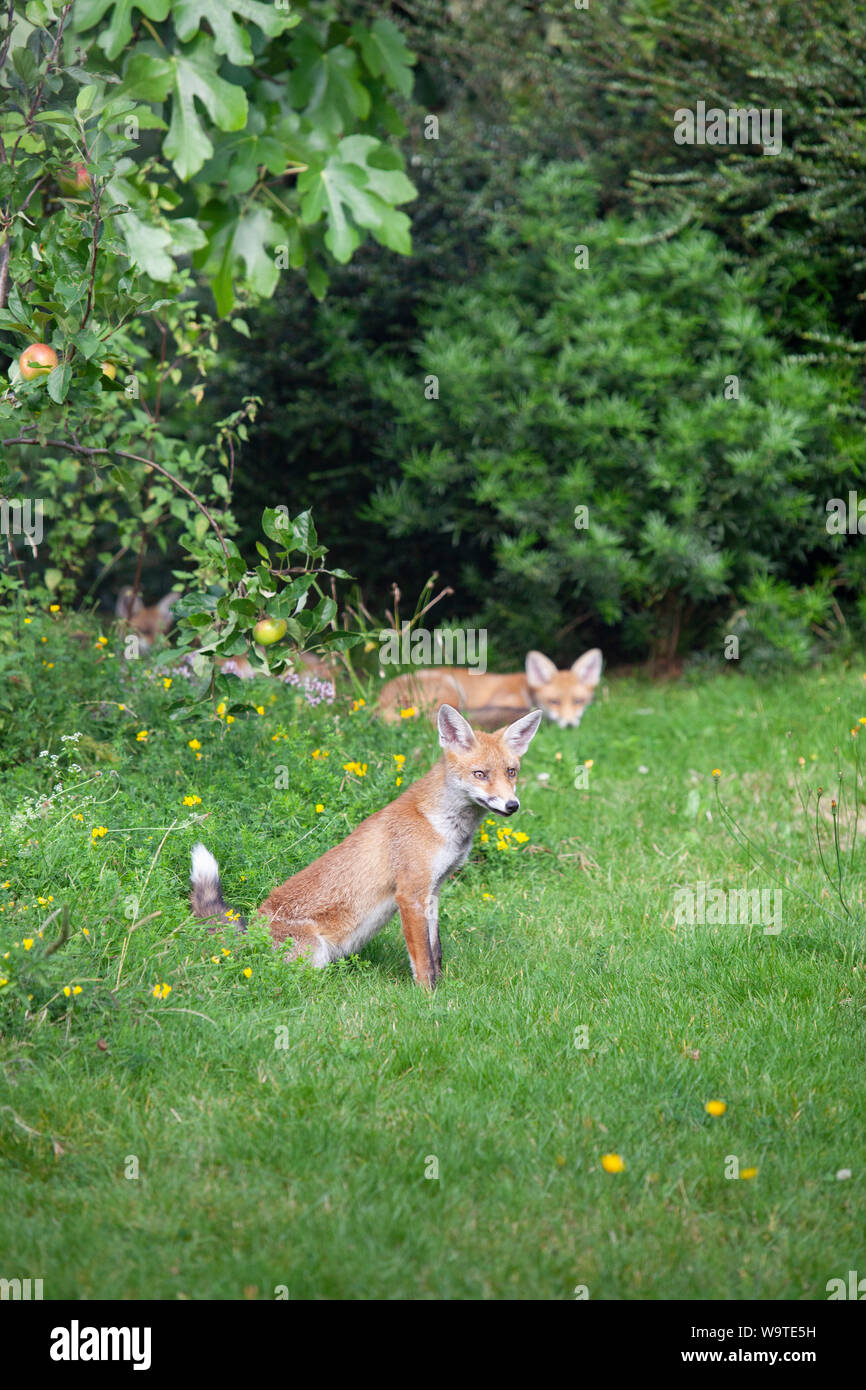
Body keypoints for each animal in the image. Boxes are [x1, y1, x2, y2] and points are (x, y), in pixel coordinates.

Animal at [189, 703, 543, 989]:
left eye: (511, 772)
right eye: (480, 774)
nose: (512, 805)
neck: (440, 823)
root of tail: (251, 933)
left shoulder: (432, 892)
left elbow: (436, 952)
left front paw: (443, 987)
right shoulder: (410, 894)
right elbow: (422, 960)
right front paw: (429, 997)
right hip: (313, 954)